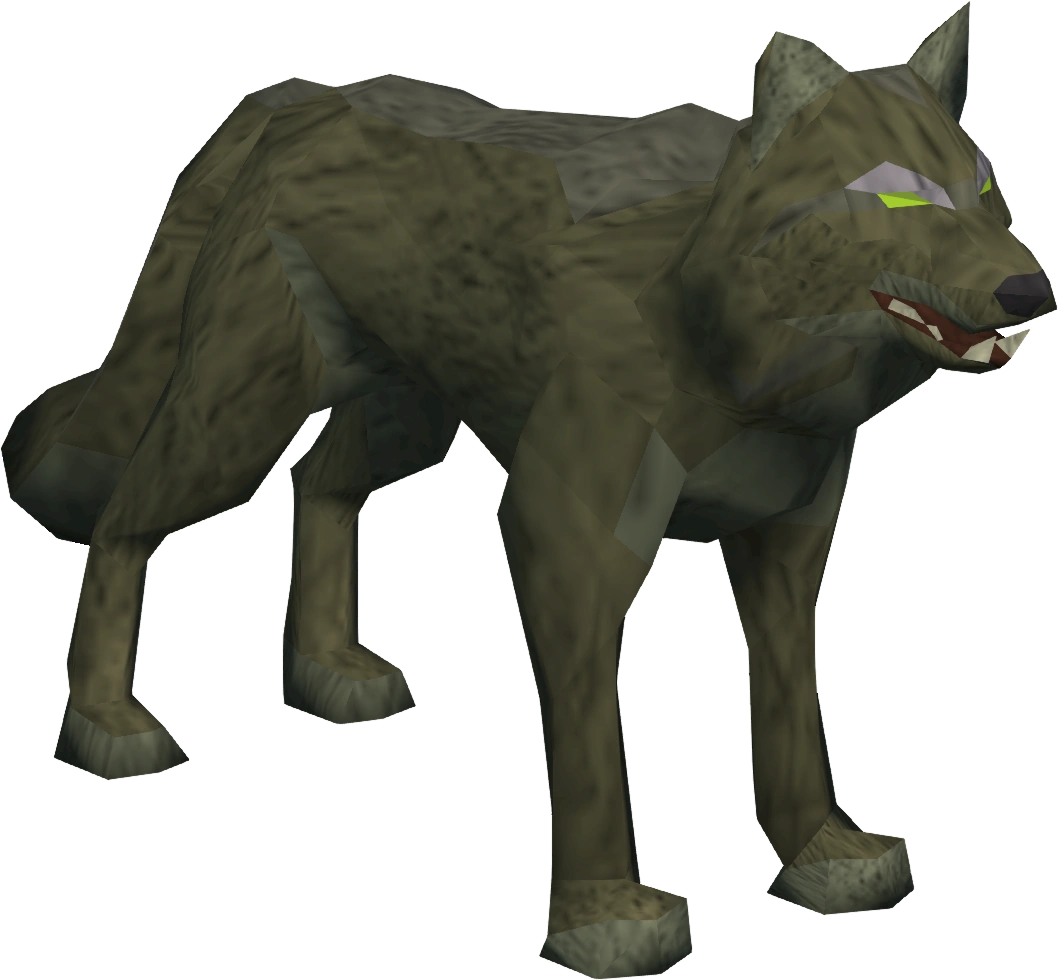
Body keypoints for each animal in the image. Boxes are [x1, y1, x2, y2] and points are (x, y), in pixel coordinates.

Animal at [3, 2, 1052, 974]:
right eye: (904, 203)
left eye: (985, 189)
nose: (1031, 290)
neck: (750, 366)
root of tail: (305, 91)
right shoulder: (572, 536)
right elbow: (590, 744)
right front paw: (603, 919)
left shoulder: (785, 546)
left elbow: (791, 712)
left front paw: (821, 855)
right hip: (240, 414)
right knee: (124, 518)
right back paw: (103, 722)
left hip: (405, 419)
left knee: (319, 482)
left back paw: (330, 665)